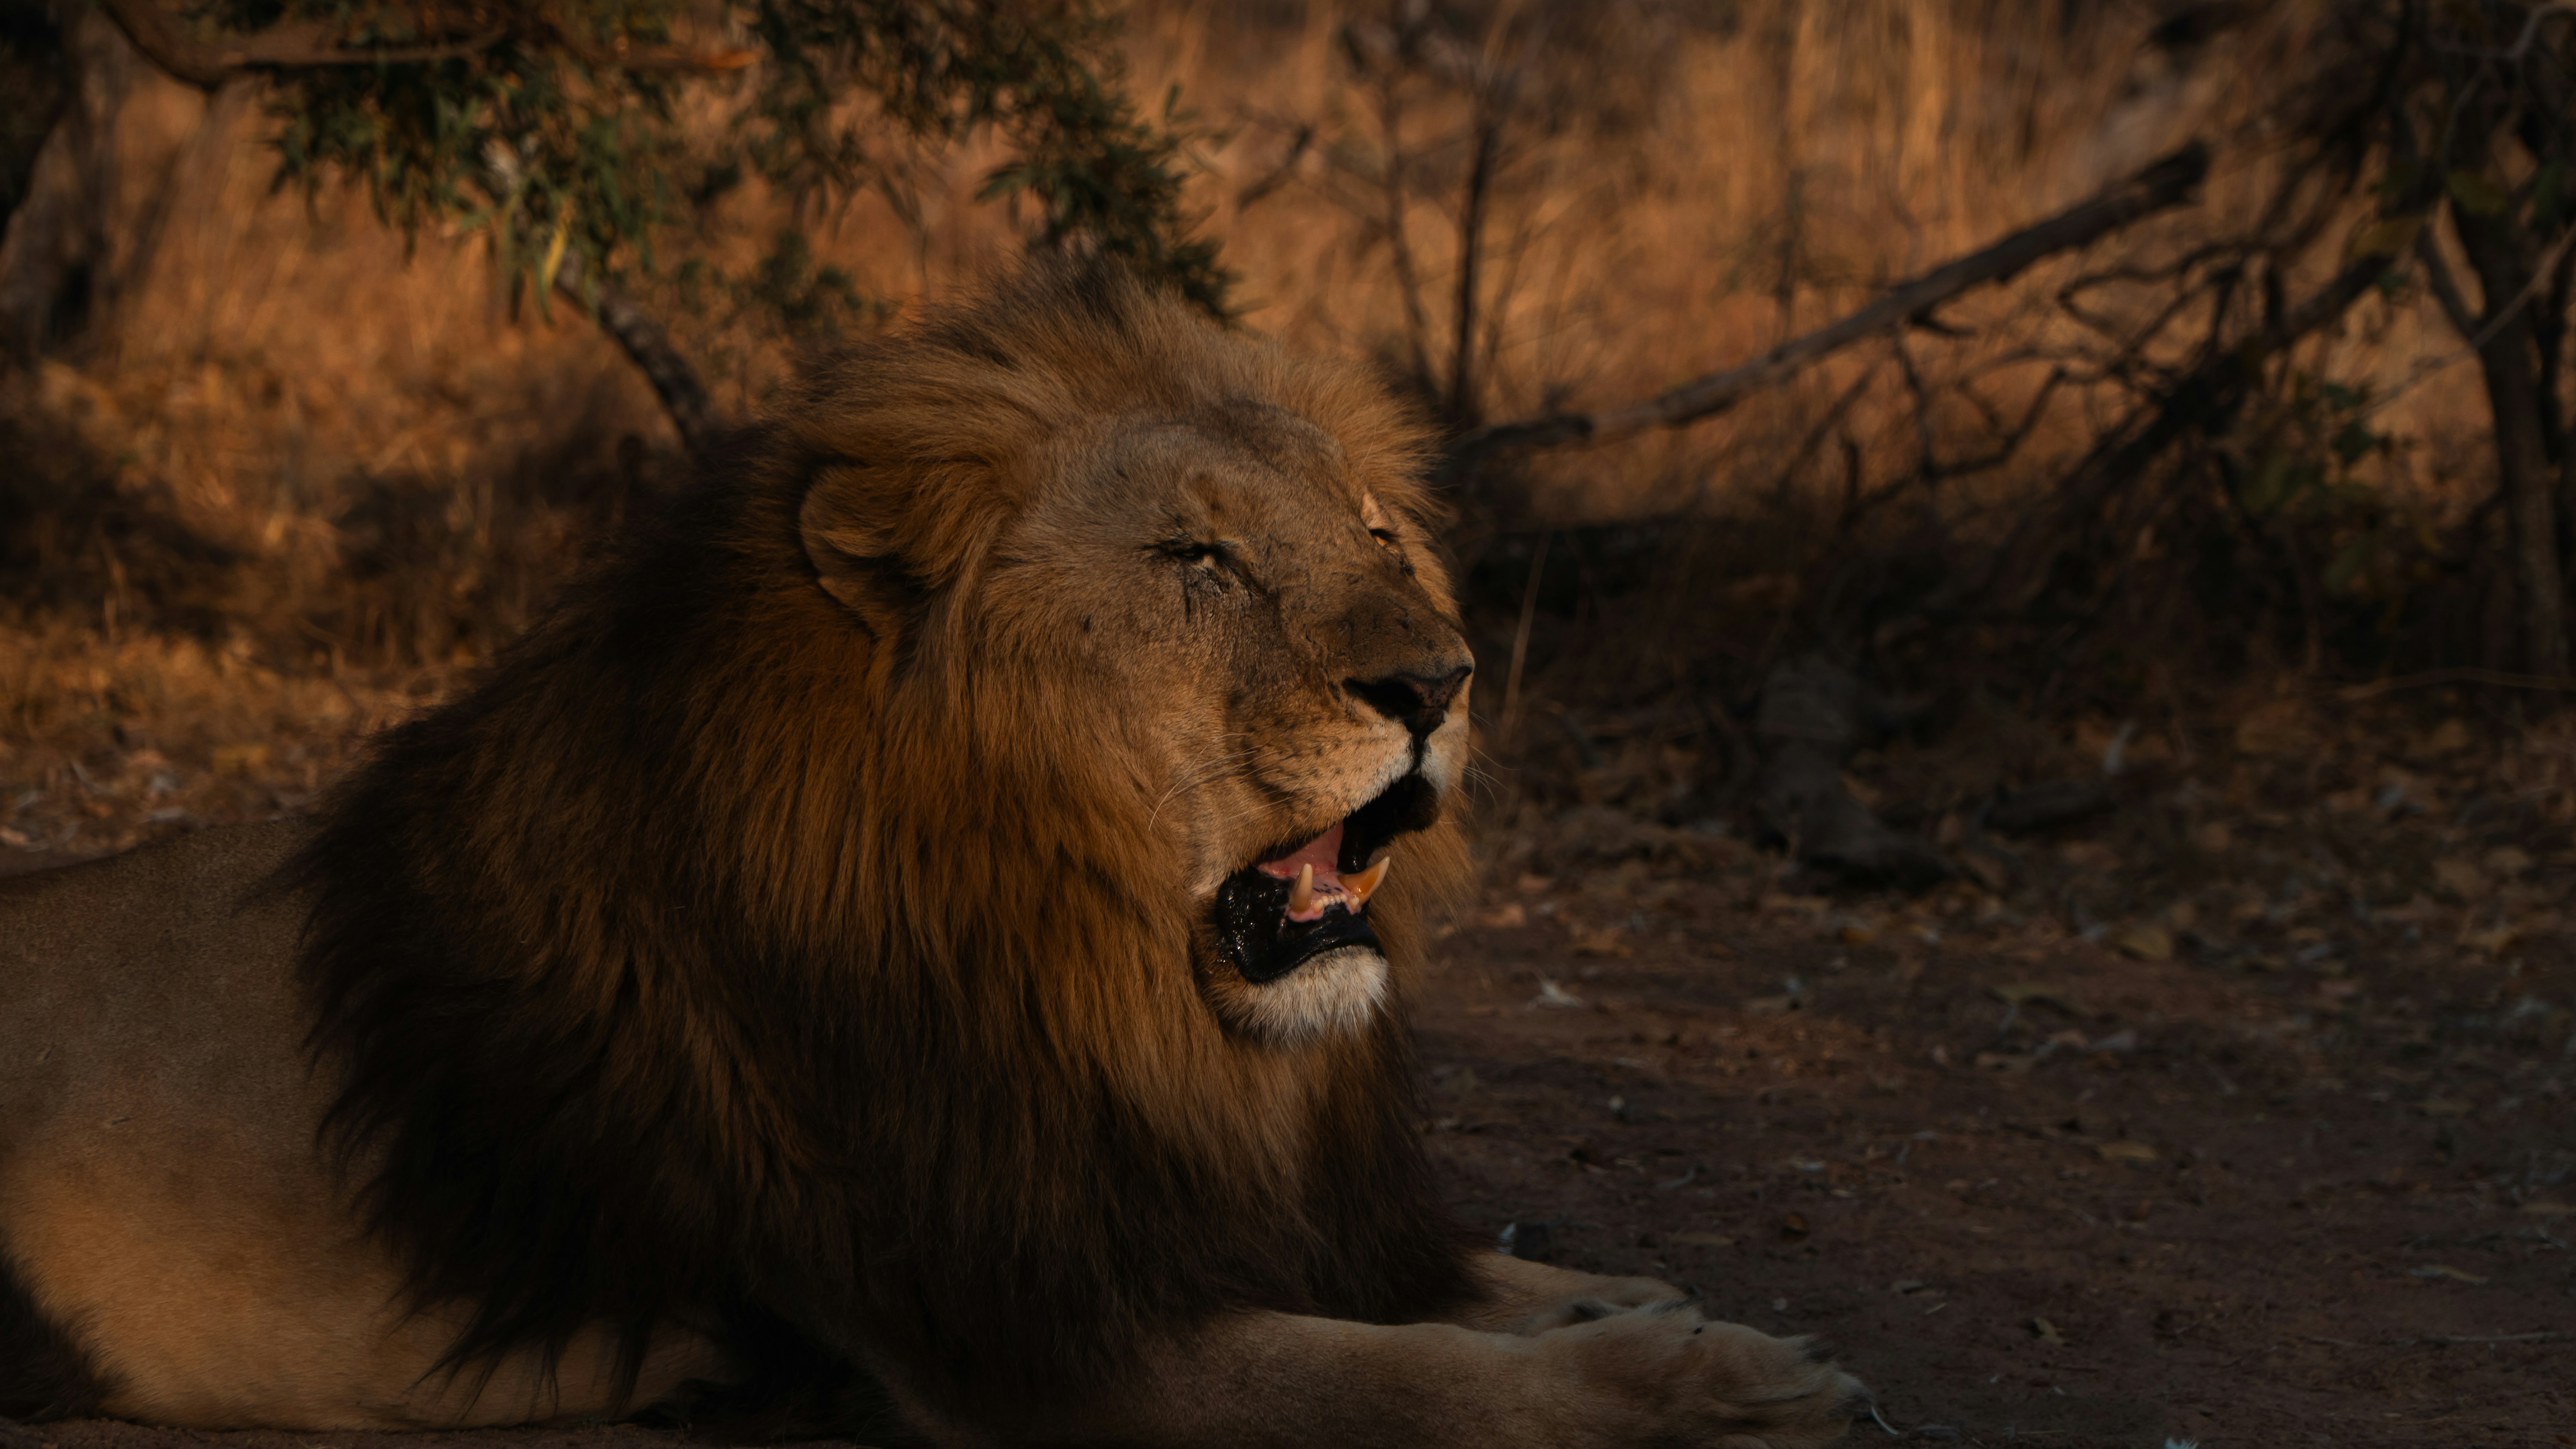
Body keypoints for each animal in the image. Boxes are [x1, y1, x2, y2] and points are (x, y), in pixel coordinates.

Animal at [0, 262, 1865, 1446]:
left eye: (1380, 536)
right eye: (1198, 560)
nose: (1442, 680)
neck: (1103, 973)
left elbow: (1481, 1286)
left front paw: (1639, 1298)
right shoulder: (1029, 1343)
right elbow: (1421, 1387)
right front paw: (1718, 1386)